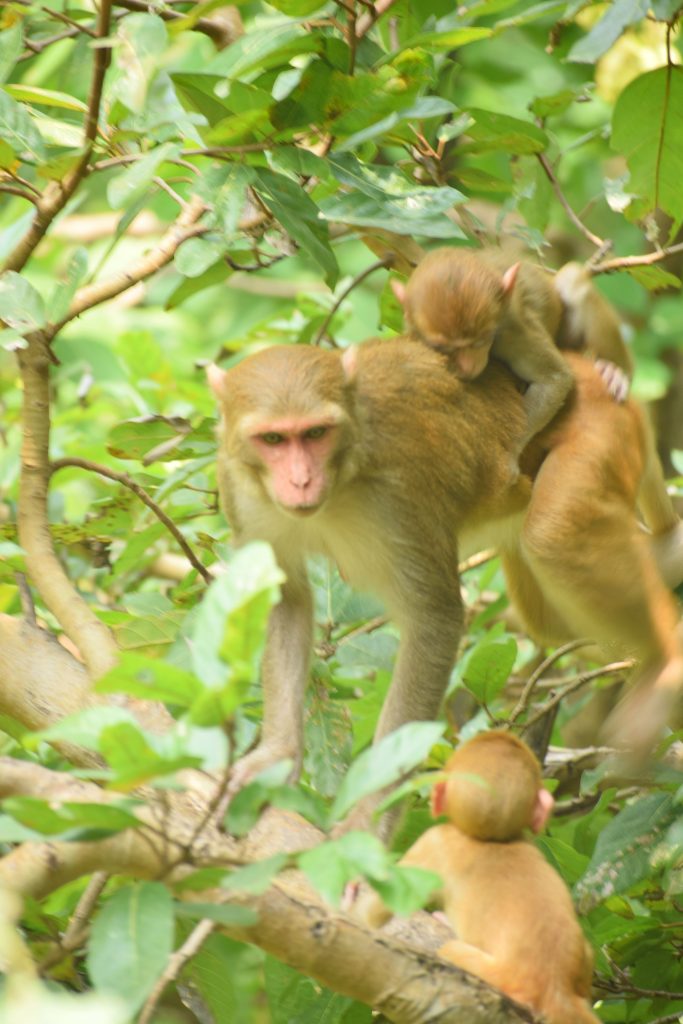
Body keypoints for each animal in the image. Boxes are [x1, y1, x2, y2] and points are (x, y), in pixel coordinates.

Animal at [208, 339, 683, 829]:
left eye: (316, 433)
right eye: (273, 439)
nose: (301, 480)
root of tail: (592, 373)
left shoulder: (397, 498)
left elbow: (435, 619)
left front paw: (369, 818)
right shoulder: (238, 487)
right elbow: (286, 601)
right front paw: (275, 755)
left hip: (597, 434)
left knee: (554, 535)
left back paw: (666, 655)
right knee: (549, 616)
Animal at [351, 731, 601, 1024]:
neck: (491, 840)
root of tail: (555, 991)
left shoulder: (434, 840)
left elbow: (377, 911)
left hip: (495, 975)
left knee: (448, 950)